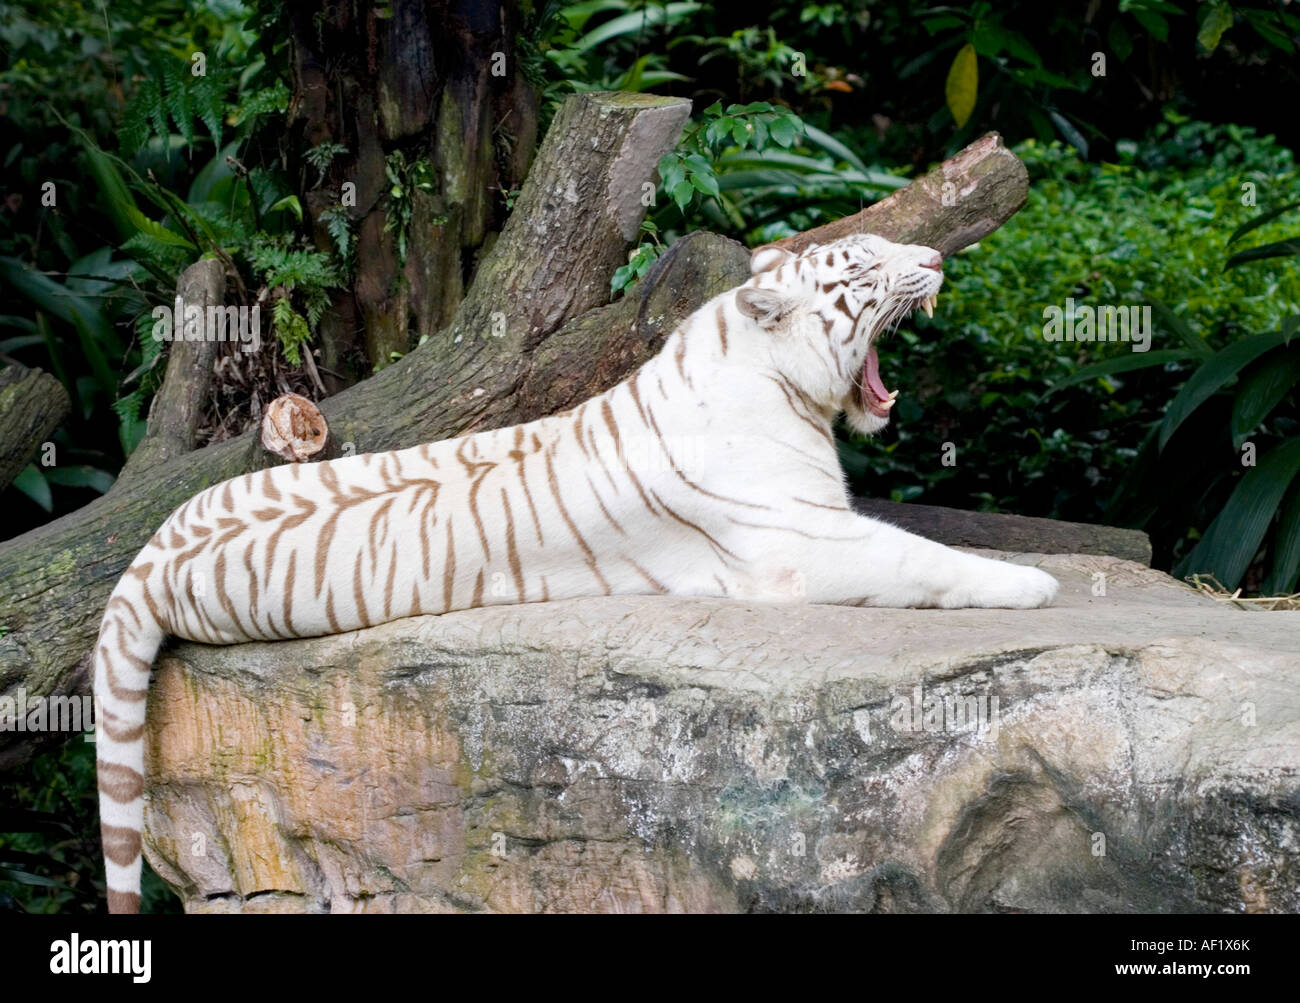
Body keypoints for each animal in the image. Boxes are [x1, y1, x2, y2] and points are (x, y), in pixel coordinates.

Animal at [93, 232, 1059, 913]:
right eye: (862, 262)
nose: (935, 256)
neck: (773, 376)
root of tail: (152, 543)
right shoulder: (799, 540)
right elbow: (921, 555)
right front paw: (1039, 587)